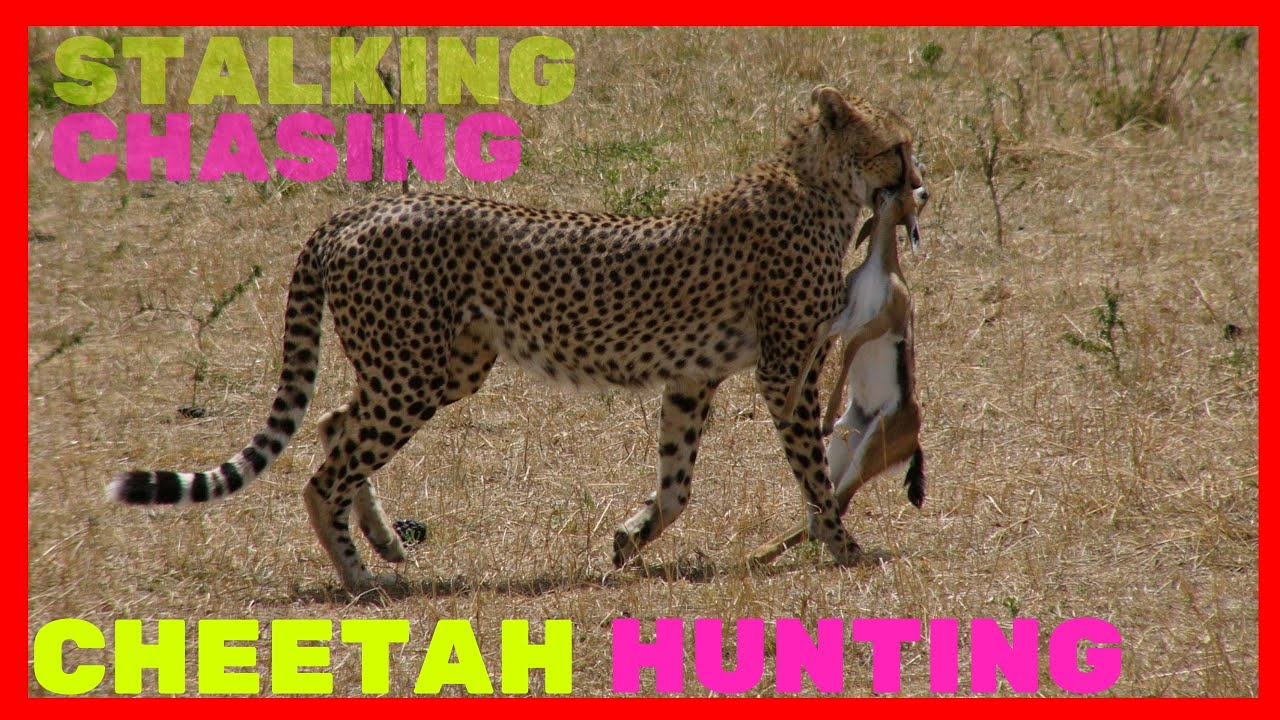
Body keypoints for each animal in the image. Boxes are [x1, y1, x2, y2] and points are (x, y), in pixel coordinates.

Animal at [107, 86, 926, 594]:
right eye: (897, 147)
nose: (920, 188)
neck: (817, 185)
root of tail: (356, 211)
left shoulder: (692, 378)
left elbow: (678, 483)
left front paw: (629, 538)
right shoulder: (785, 371)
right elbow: (813, 473)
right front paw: (845, 549)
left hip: (439, 366)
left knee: (336, 424)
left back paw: (384, 542)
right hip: (415, 373)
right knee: (324, 472)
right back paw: (361, 579)